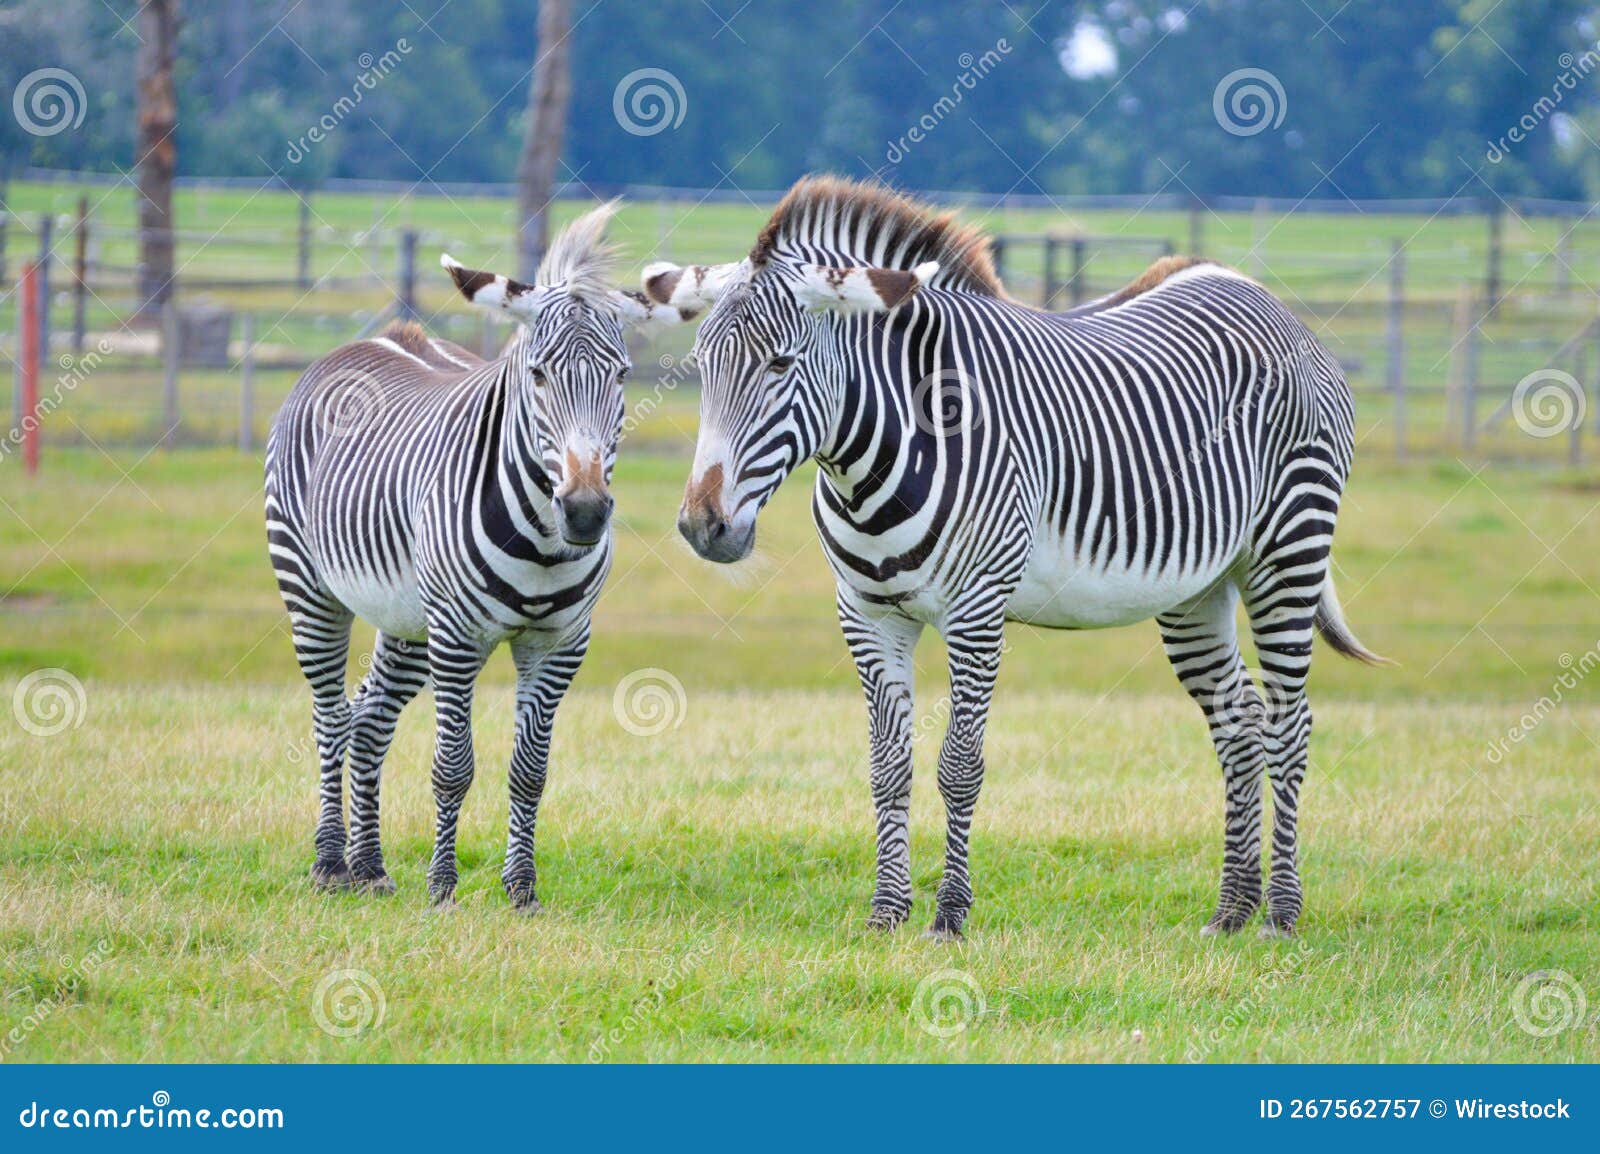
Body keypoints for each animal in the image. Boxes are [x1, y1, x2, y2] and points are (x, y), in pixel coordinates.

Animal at [265, 203, 680, 910]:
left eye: (622, 375)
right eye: (538, 374)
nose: (585, 512)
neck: (542, 544)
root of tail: (372, 340)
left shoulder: (559, 642)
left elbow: (530, 770)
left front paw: (521, 889)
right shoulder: (457, 639)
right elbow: (453, 766)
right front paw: (443, 888)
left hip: (407, 620)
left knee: (368, 719)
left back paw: (369, 866)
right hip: (311, 589)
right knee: (329, 717)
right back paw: (330, 863)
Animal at [645, 177, 1386, 940]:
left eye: (780, 364)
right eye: (700, 369)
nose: (703, 526)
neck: (879, 456)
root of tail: (1256, 292)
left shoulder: (976, 613)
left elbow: (959, 764)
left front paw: (948, 915)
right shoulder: (867, 614)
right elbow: (888, 766)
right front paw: (886, 913)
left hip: (1288, 549)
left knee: (1289, 725)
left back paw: (1282, 914)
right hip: (1196, 589)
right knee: (1239, 722)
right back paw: (1231, 911)